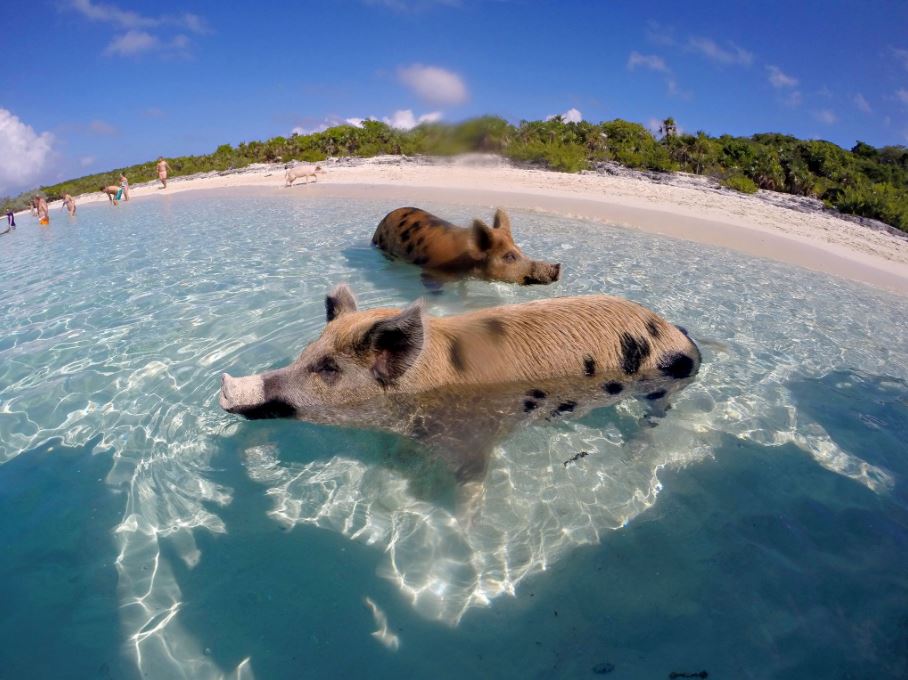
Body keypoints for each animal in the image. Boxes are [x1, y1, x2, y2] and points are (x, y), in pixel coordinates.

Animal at [220, 285, 701, 481]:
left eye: (329, 369)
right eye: (306, 352)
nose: (224, 387)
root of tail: (684, 338)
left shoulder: (474, 436)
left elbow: (470, 478)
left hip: (664, 385)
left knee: (657, 414)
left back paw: (634, 452)